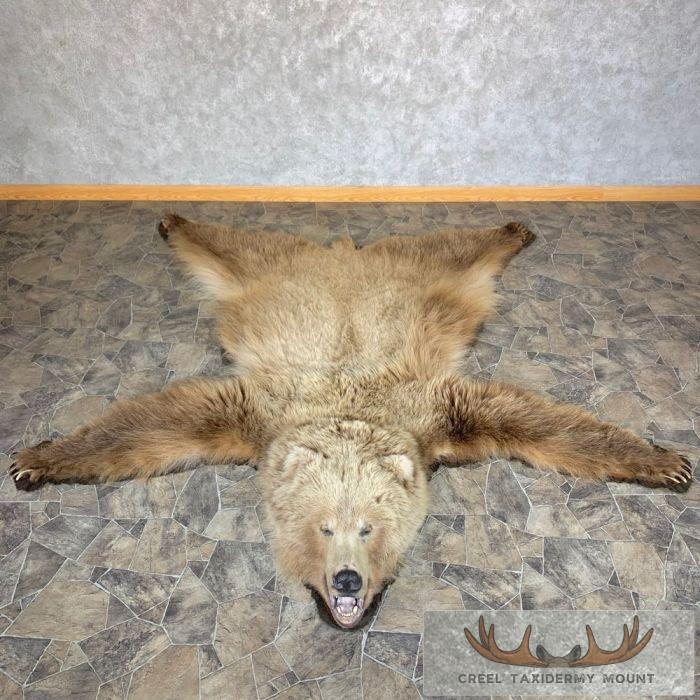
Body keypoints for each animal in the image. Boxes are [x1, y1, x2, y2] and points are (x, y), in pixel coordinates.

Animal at [9, 215, 693, 629]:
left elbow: (530, 419)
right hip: (266, 274)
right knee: (230, 244)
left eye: (369, 527)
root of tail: (341, 254)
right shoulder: (260, 410)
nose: (346, 581)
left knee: (456, 250)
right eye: (321, 527)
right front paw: (40, 458)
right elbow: (158, 422)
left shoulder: (435, 412)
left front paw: (662, 461)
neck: (348, 411)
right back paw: (176, 220)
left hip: (424, 277)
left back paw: (511, 227)